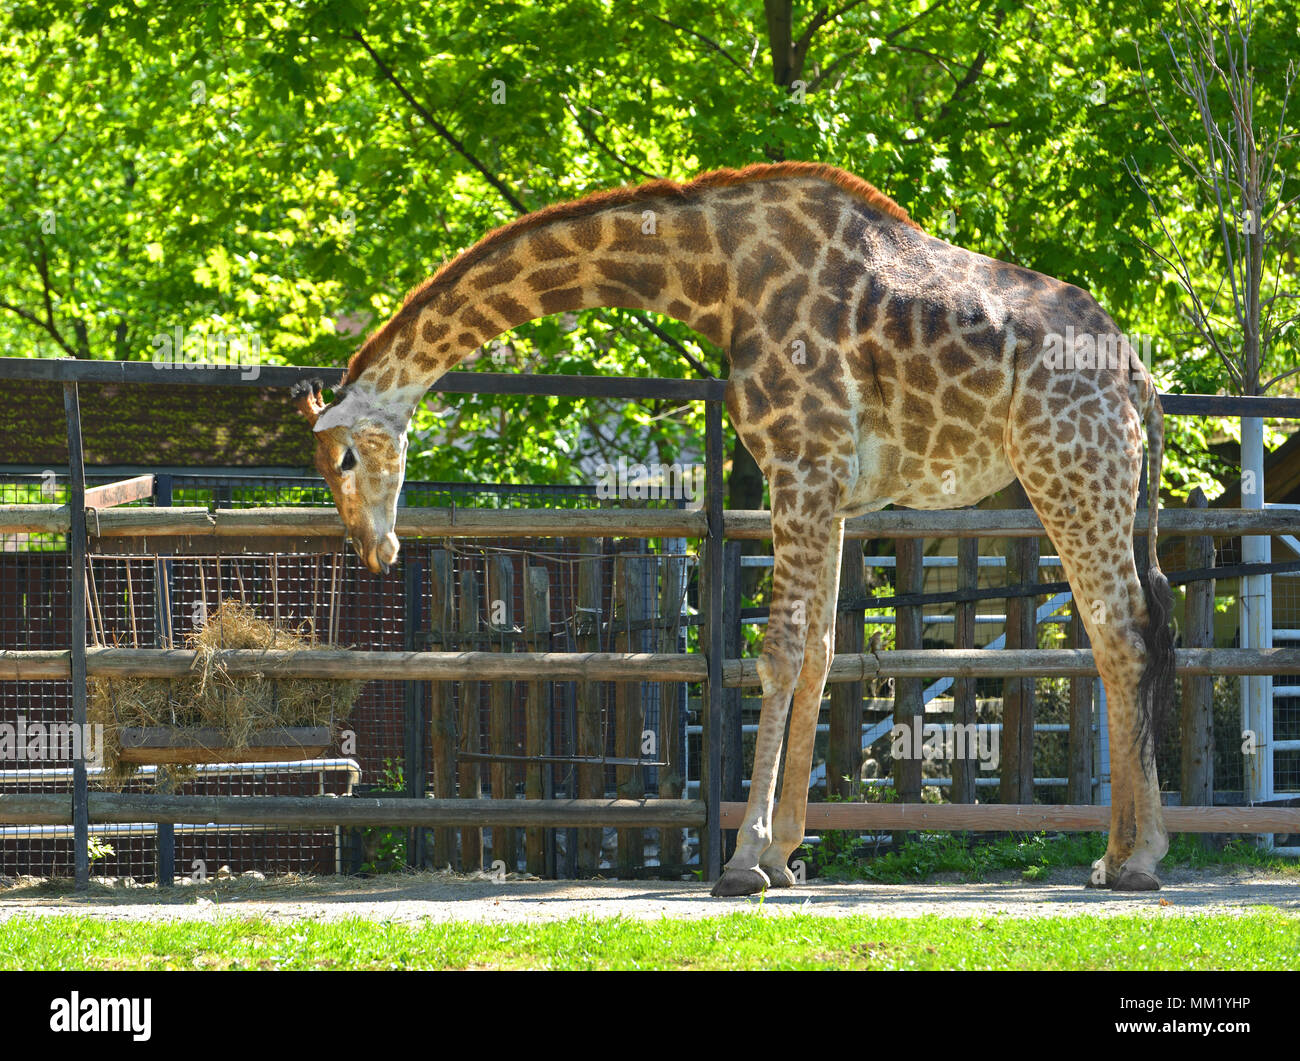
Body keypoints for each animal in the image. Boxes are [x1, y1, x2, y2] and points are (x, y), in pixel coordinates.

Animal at [292, 162, 1176, 895]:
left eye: (342, 458)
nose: (373, 548)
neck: (716, 276)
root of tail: (1137, 373)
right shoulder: (830, 486)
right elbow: (819, 653)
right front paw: (784, 854)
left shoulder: (802, 462)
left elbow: (778, 653)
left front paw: (744, 860)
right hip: (1091, 479)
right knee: (1124, 634)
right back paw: (1113, 856)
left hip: (1071, 468)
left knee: (1123, 633)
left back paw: (1138, 859)